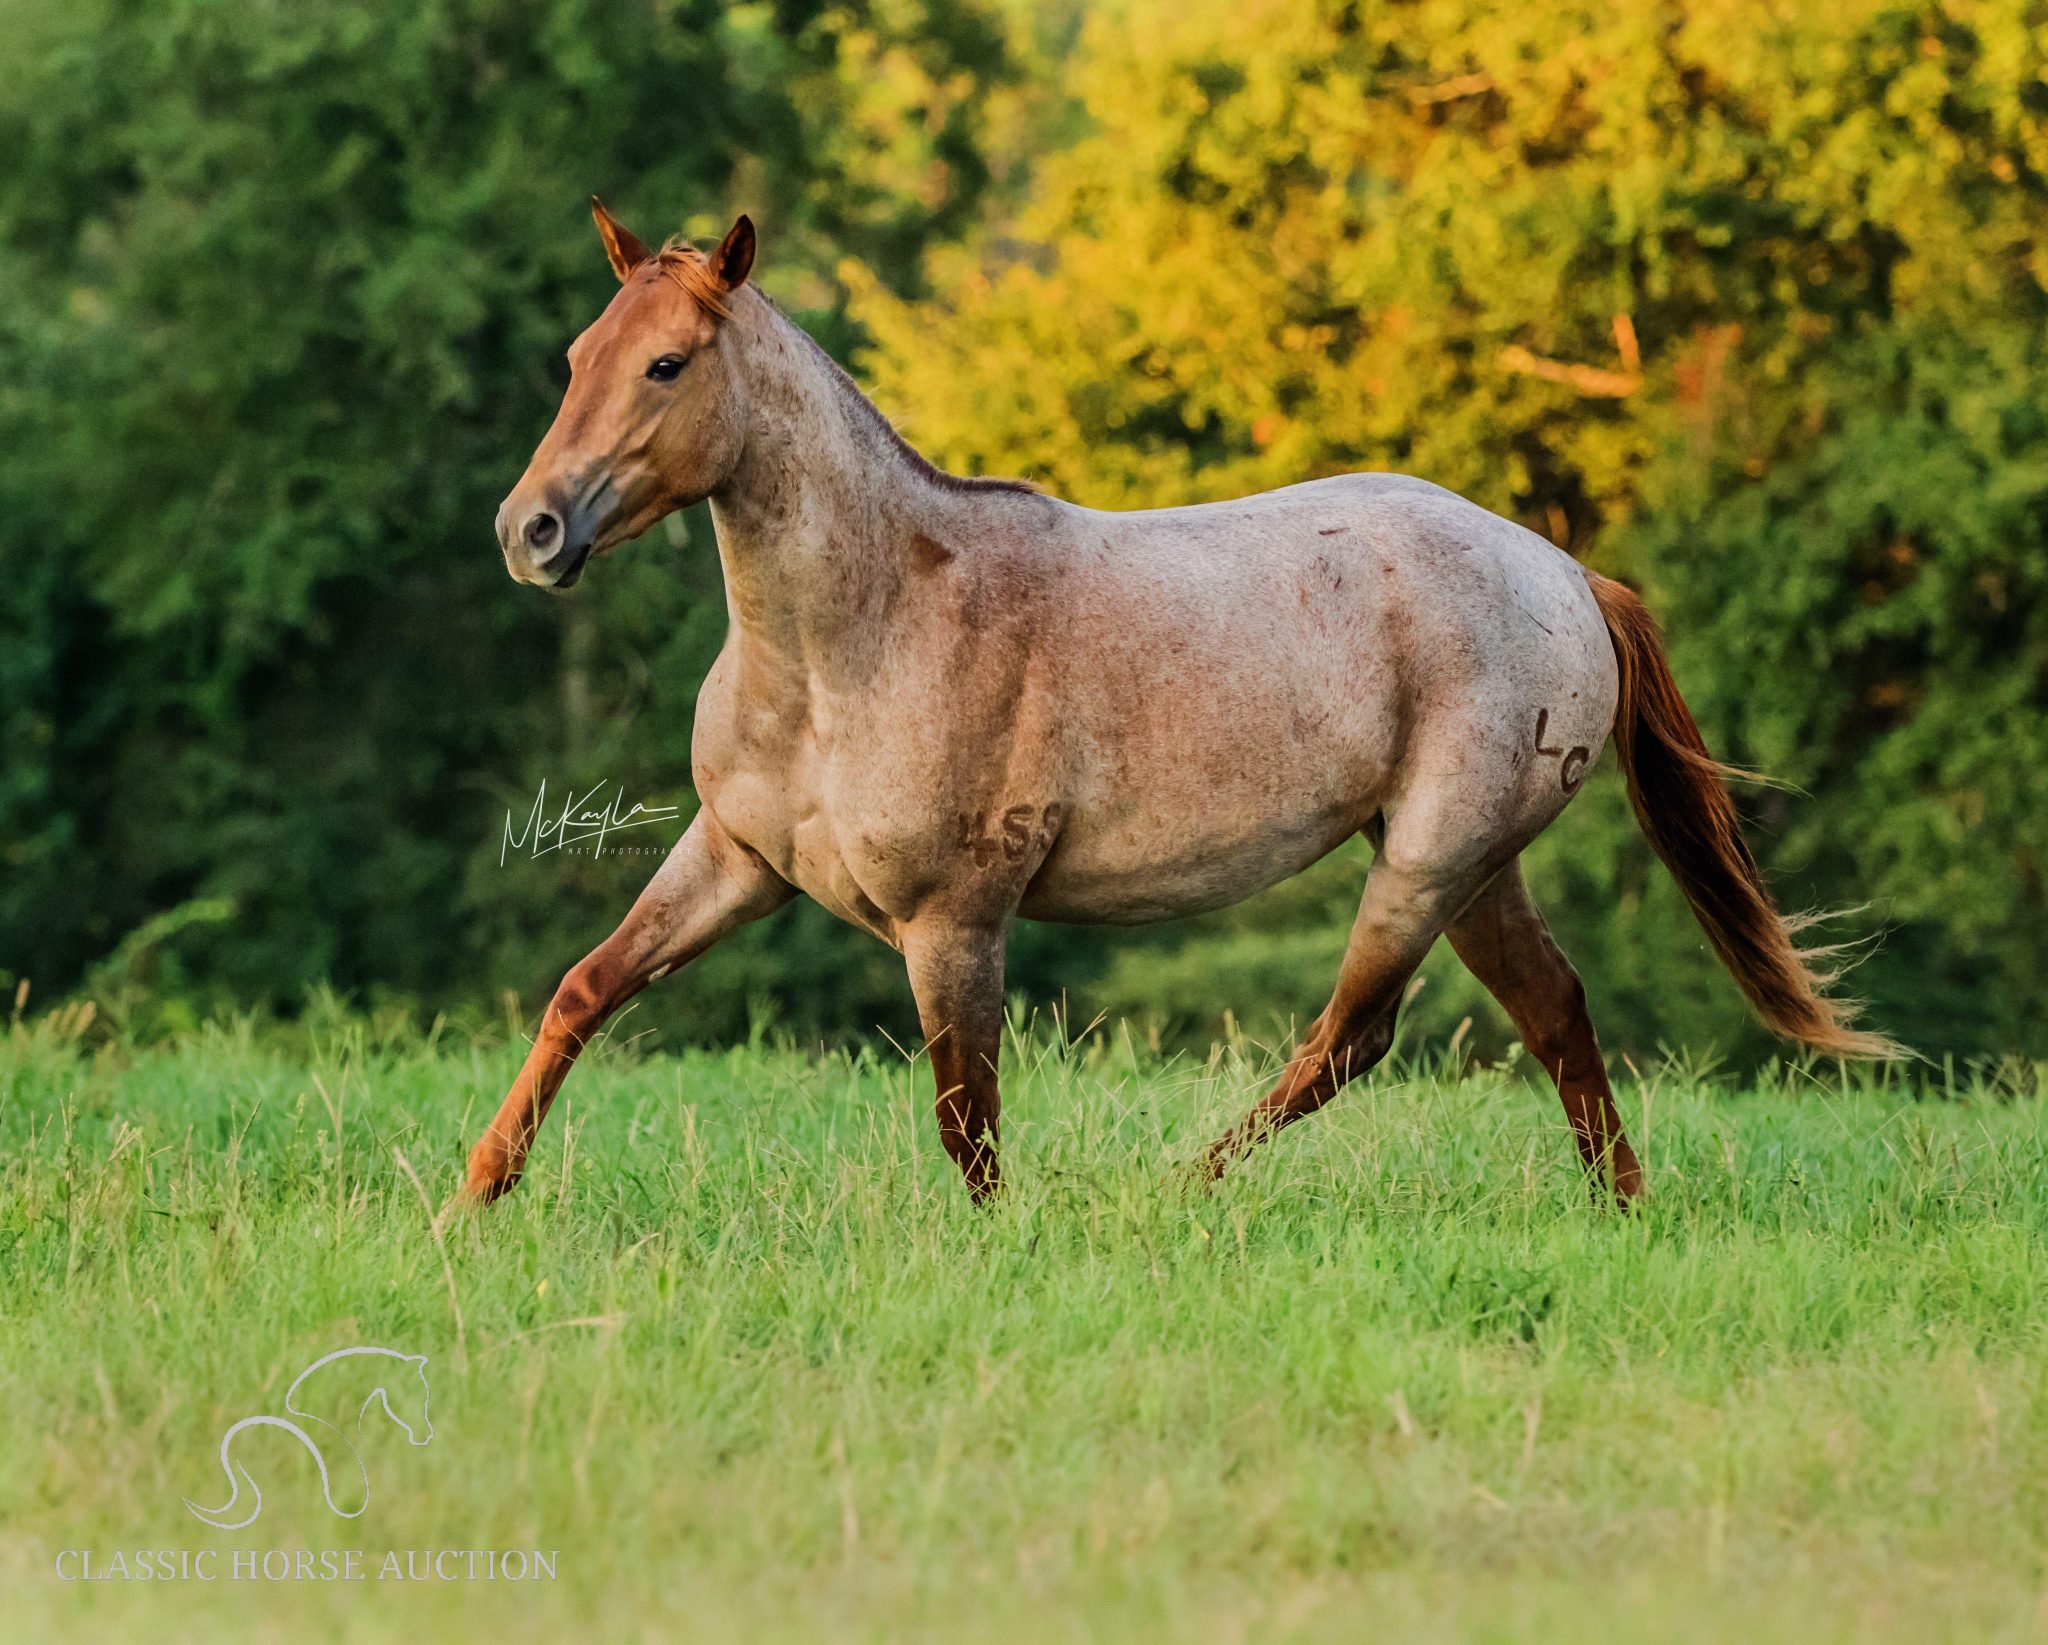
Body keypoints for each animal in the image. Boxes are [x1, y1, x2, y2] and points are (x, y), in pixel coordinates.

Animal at [463, 198, 1897, 1210]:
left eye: (666, 365)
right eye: (581, 353)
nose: (527, 532)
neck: (850, 645)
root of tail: (1568, 574)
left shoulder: (954, 920)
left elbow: (966, 1118)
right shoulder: (737, 860)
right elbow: (585, 990)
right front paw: (475, 1193)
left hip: (1430, 862)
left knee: (1350, 1037)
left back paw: (1181, 1193)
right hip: (1477, 868)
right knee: (1552, 1015)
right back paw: (1623, 1211)